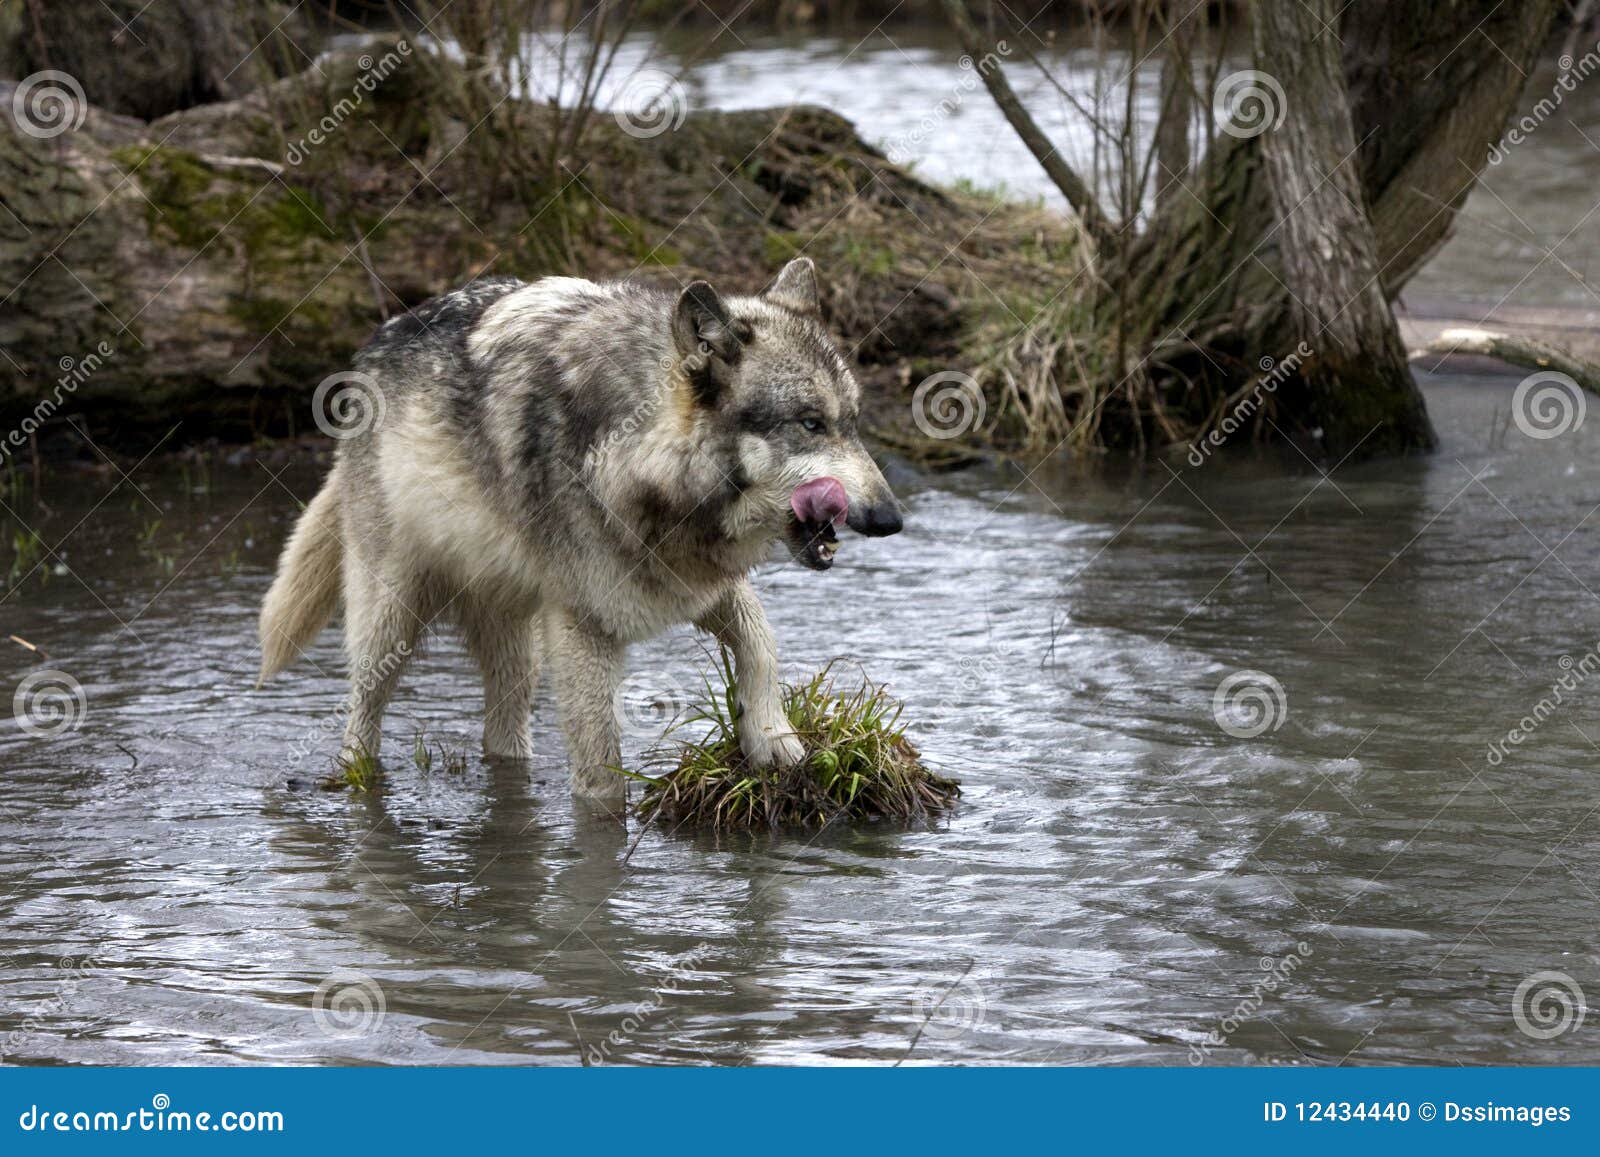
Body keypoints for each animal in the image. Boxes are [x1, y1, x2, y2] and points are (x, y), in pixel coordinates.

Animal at [258, 258, 903, 806]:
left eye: (852, 424)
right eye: (810, 424)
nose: (890, 519)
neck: (635, 459)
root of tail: (375, 342)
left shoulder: (696, 583)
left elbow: (762, 642)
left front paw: (770, 735)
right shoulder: (584, 628)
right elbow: (601, 780)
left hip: (519, 651)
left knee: (503, 733)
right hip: (392, 622)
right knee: (360, 716)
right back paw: (357, 780)